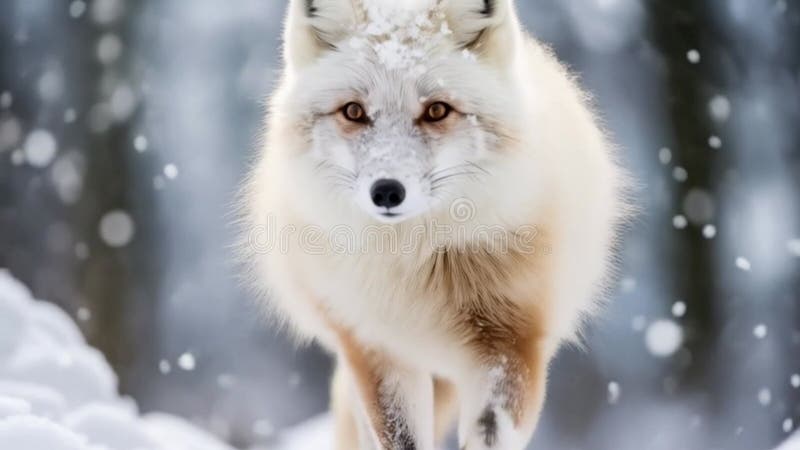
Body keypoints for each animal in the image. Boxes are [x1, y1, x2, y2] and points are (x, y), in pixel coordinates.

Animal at [240, 0, 628, 449]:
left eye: (437, 110)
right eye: (354, 111)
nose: (386, 191)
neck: (418, 265)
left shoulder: (513, 342)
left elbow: (489, 431)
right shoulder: (375, 350)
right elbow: (400, 438)